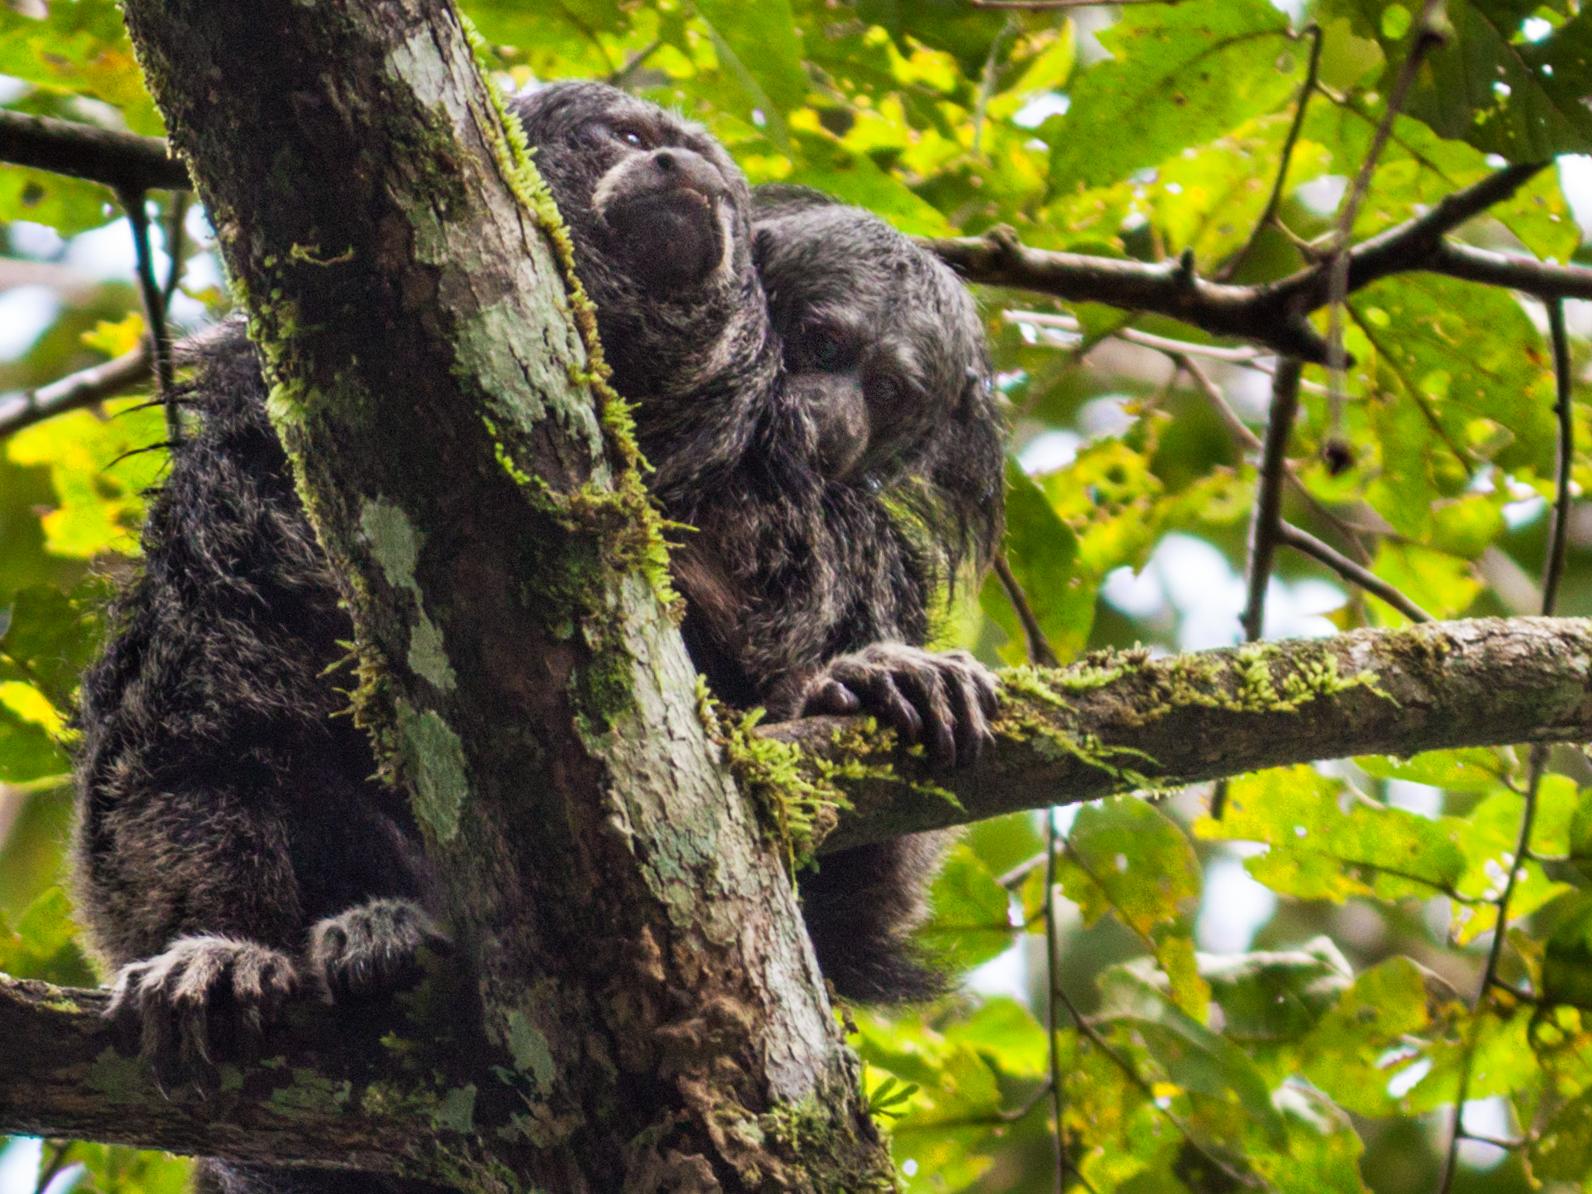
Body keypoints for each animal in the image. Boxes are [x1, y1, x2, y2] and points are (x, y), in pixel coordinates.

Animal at [72, 80, 1001, 1190]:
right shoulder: (243, 473)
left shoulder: (842, 545)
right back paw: (372, 936)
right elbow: (191, 739)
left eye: (891, 393)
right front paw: (218, 949)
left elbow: (854, 907)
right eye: (631, 137)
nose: (683, 169)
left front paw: (871, 681)